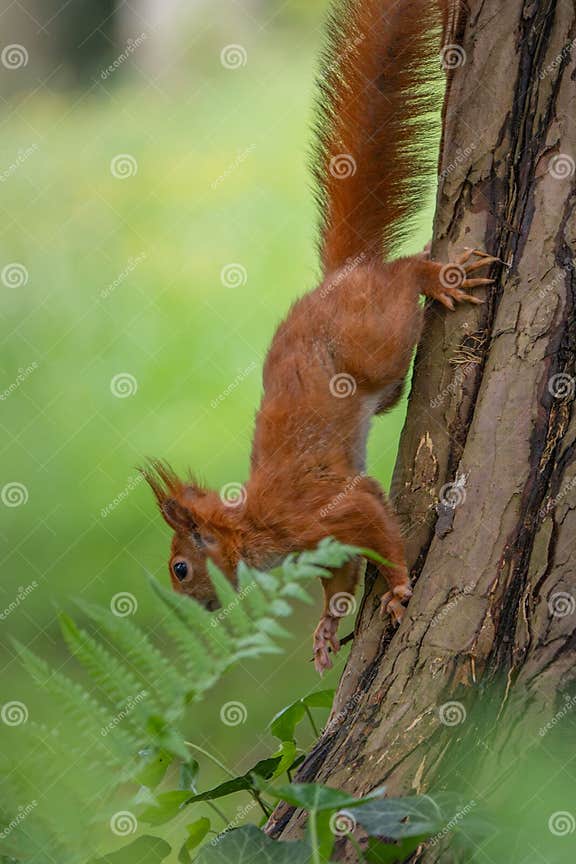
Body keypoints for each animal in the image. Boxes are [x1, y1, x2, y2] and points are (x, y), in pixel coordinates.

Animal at [144, 0, 496, 674]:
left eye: (180, 567)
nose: (200, 608)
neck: (252, 528)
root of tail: (343, 276)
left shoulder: (323, 511)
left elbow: (374, 524)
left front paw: (401, 586)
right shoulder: (325, 547)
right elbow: (340, 582)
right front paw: (327, 632)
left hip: (375, 340)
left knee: (401, 278)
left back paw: (432, 275)